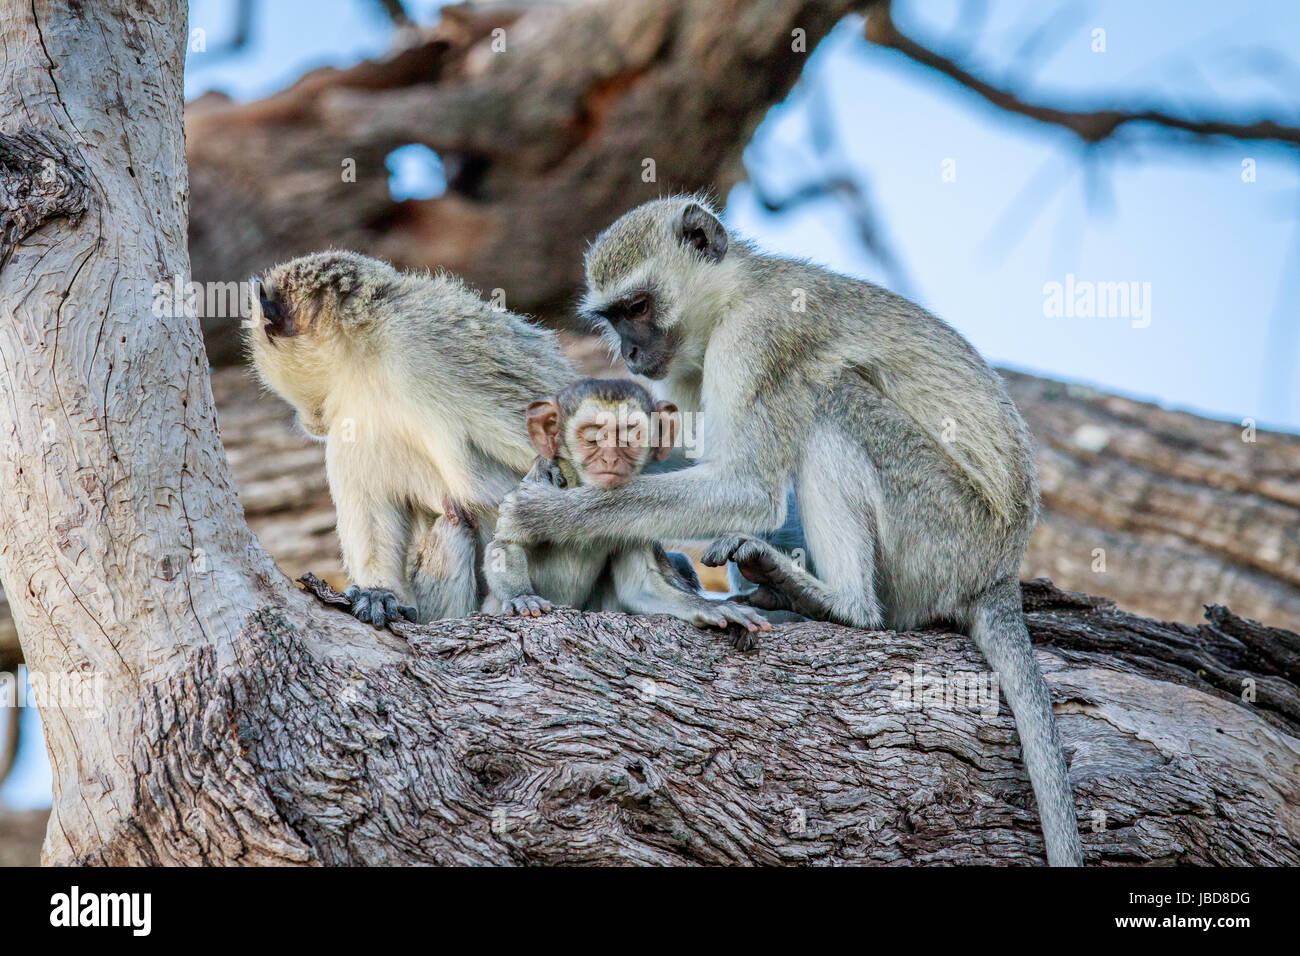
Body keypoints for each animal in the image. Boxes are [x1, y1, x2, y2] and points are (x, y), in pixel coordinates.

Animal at [245, 250, 573, 628]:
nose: (304, 421)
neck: (367, 348)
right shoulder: (355, 407)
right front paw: (378, 591)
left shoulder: (422, 344)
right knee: (453, 522)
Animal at [482, 377, 770, 642]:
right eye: (593, 437)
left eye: (629, 436)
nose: (610, 458)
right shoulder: (546, 481)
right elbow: (505, 545)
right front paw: (521, 596)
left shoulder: (631, 522)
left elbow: (641, 588)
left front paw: (710, 607)